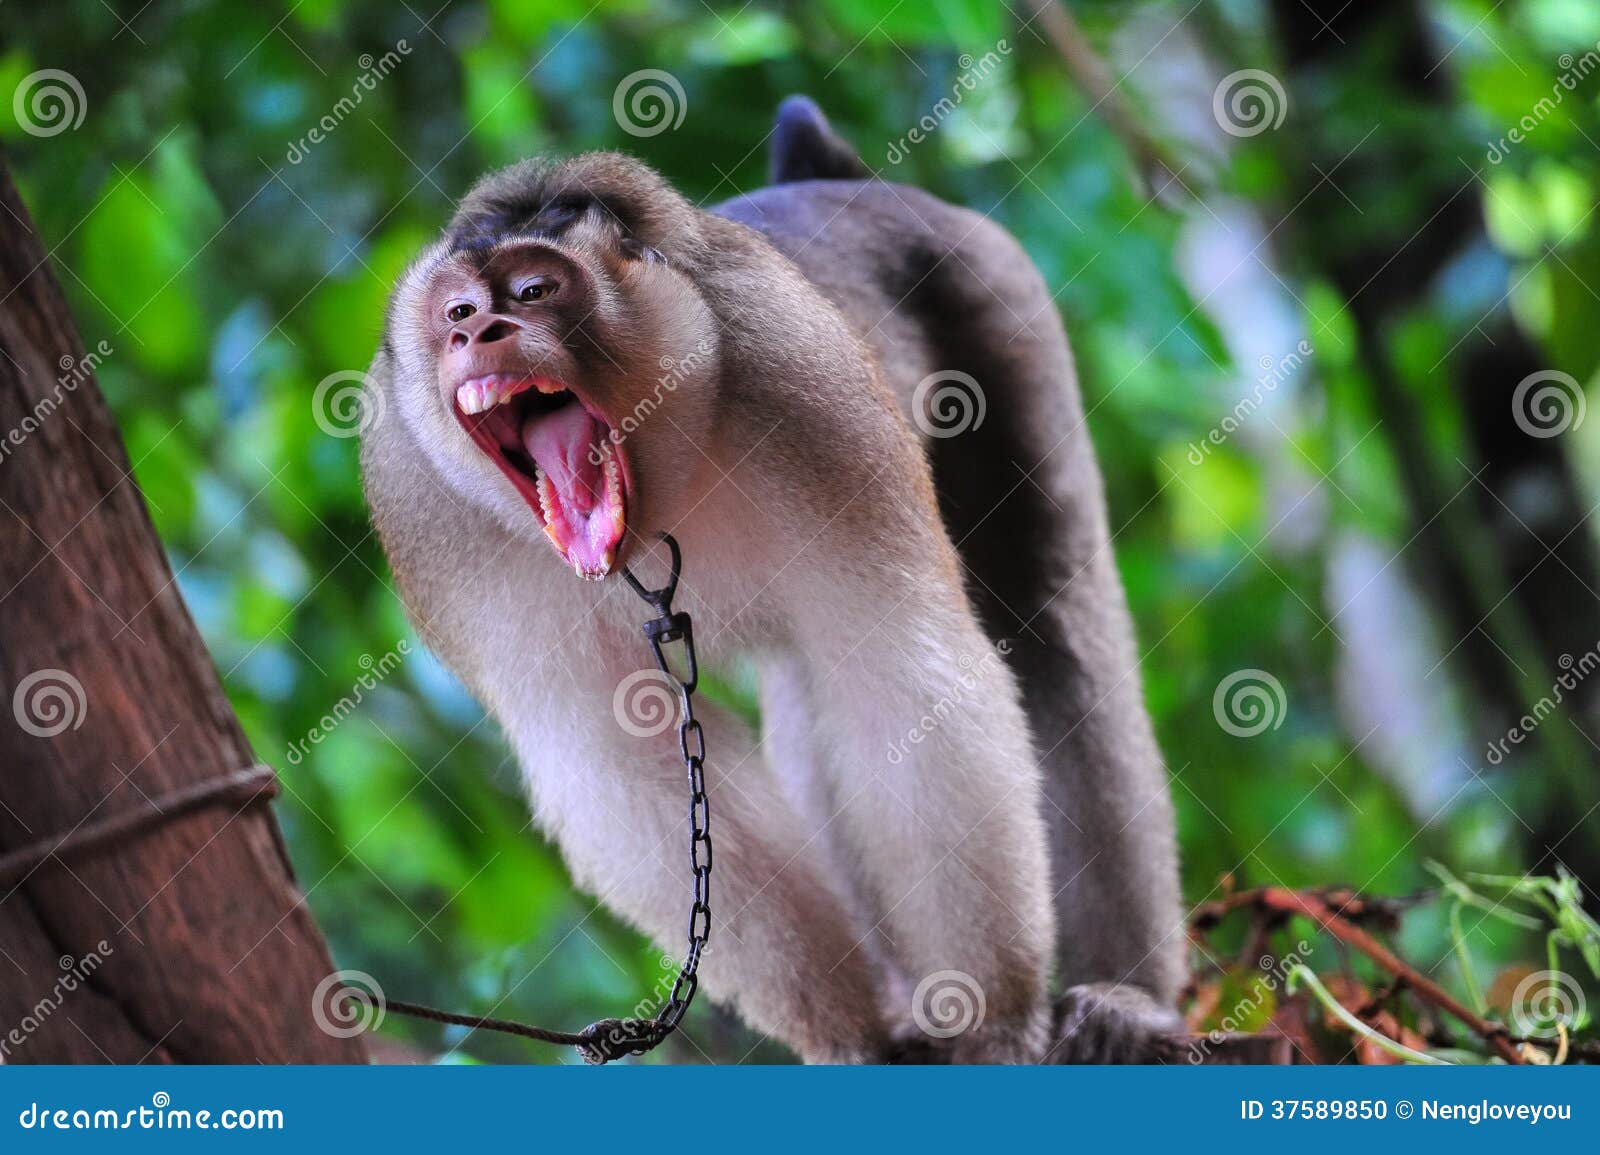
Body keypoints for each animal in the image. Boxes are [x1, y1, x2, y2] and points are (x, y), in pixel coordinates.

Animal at [360, 96, 1183, 1063]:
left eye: (534, 291)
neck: (661, 463)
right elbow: (623, 754)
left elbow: (905, 680)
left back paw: (1131, 999)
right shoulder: (423, 505)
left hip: (997, 292)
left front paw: (994, 1018)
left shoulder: (802, 383)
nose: (473, 334)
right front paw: (856, 1032)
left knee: (1048, 620)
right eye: (455, 308)